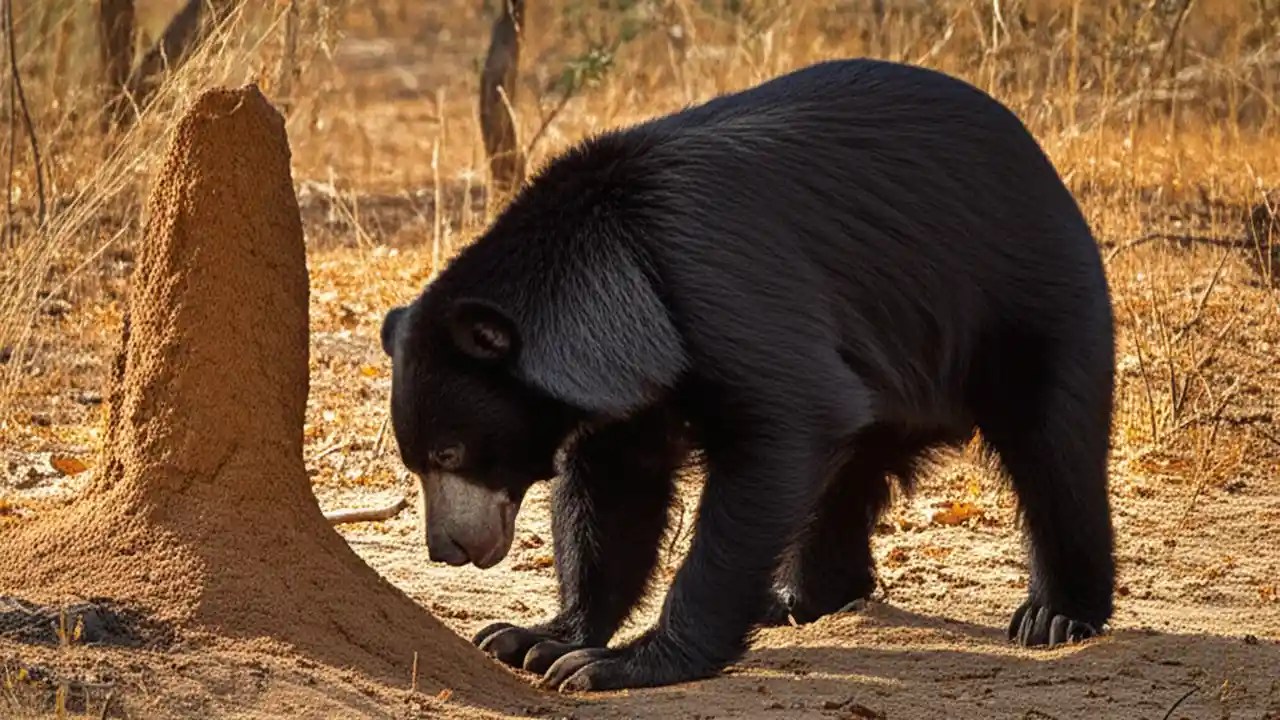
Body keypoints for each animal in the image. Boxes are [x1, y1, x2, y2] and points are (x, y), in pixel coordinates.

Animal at [379, 57, 1116, 693]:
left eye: (452, 453)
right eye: (418, 461)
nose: (450, 547)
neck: (618, 275)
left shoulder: (718, 290)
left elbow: (782, 432)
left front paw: (622, 663)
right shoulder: (635, 374)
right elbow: (615, 492)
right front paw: (534, 639)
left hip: (1028, 296)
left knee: (1054, 448)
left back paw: (1057, 615)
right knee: (848, 471)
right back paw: (798, 596)